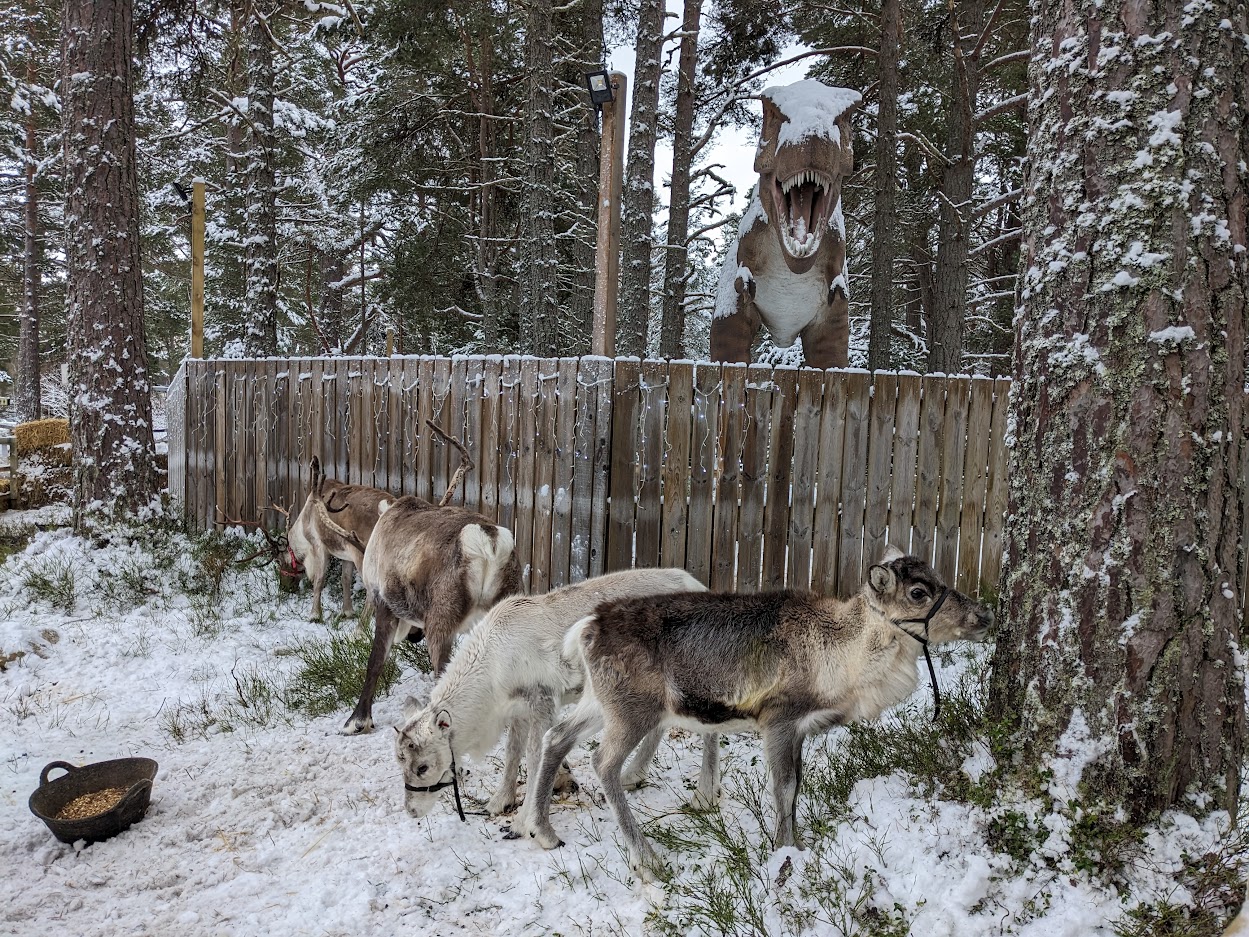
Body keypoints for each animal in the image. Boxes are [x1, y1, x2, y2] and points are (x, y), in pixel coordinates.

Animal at [517, 546, 993, 879]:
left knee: (556, 737)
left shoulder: (800, 730)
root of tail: (586, 629)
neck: (842, 659)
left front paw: (795, 842)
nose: (984, 616)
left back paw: (543, 832)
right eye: (919, 592)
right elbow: (783, 787)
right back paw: (646, 858)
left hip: (599, 703)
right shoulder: (778, 719)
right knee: (603, 762)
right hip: (632, 710)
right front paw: (786, 851)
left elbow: (797, 787)